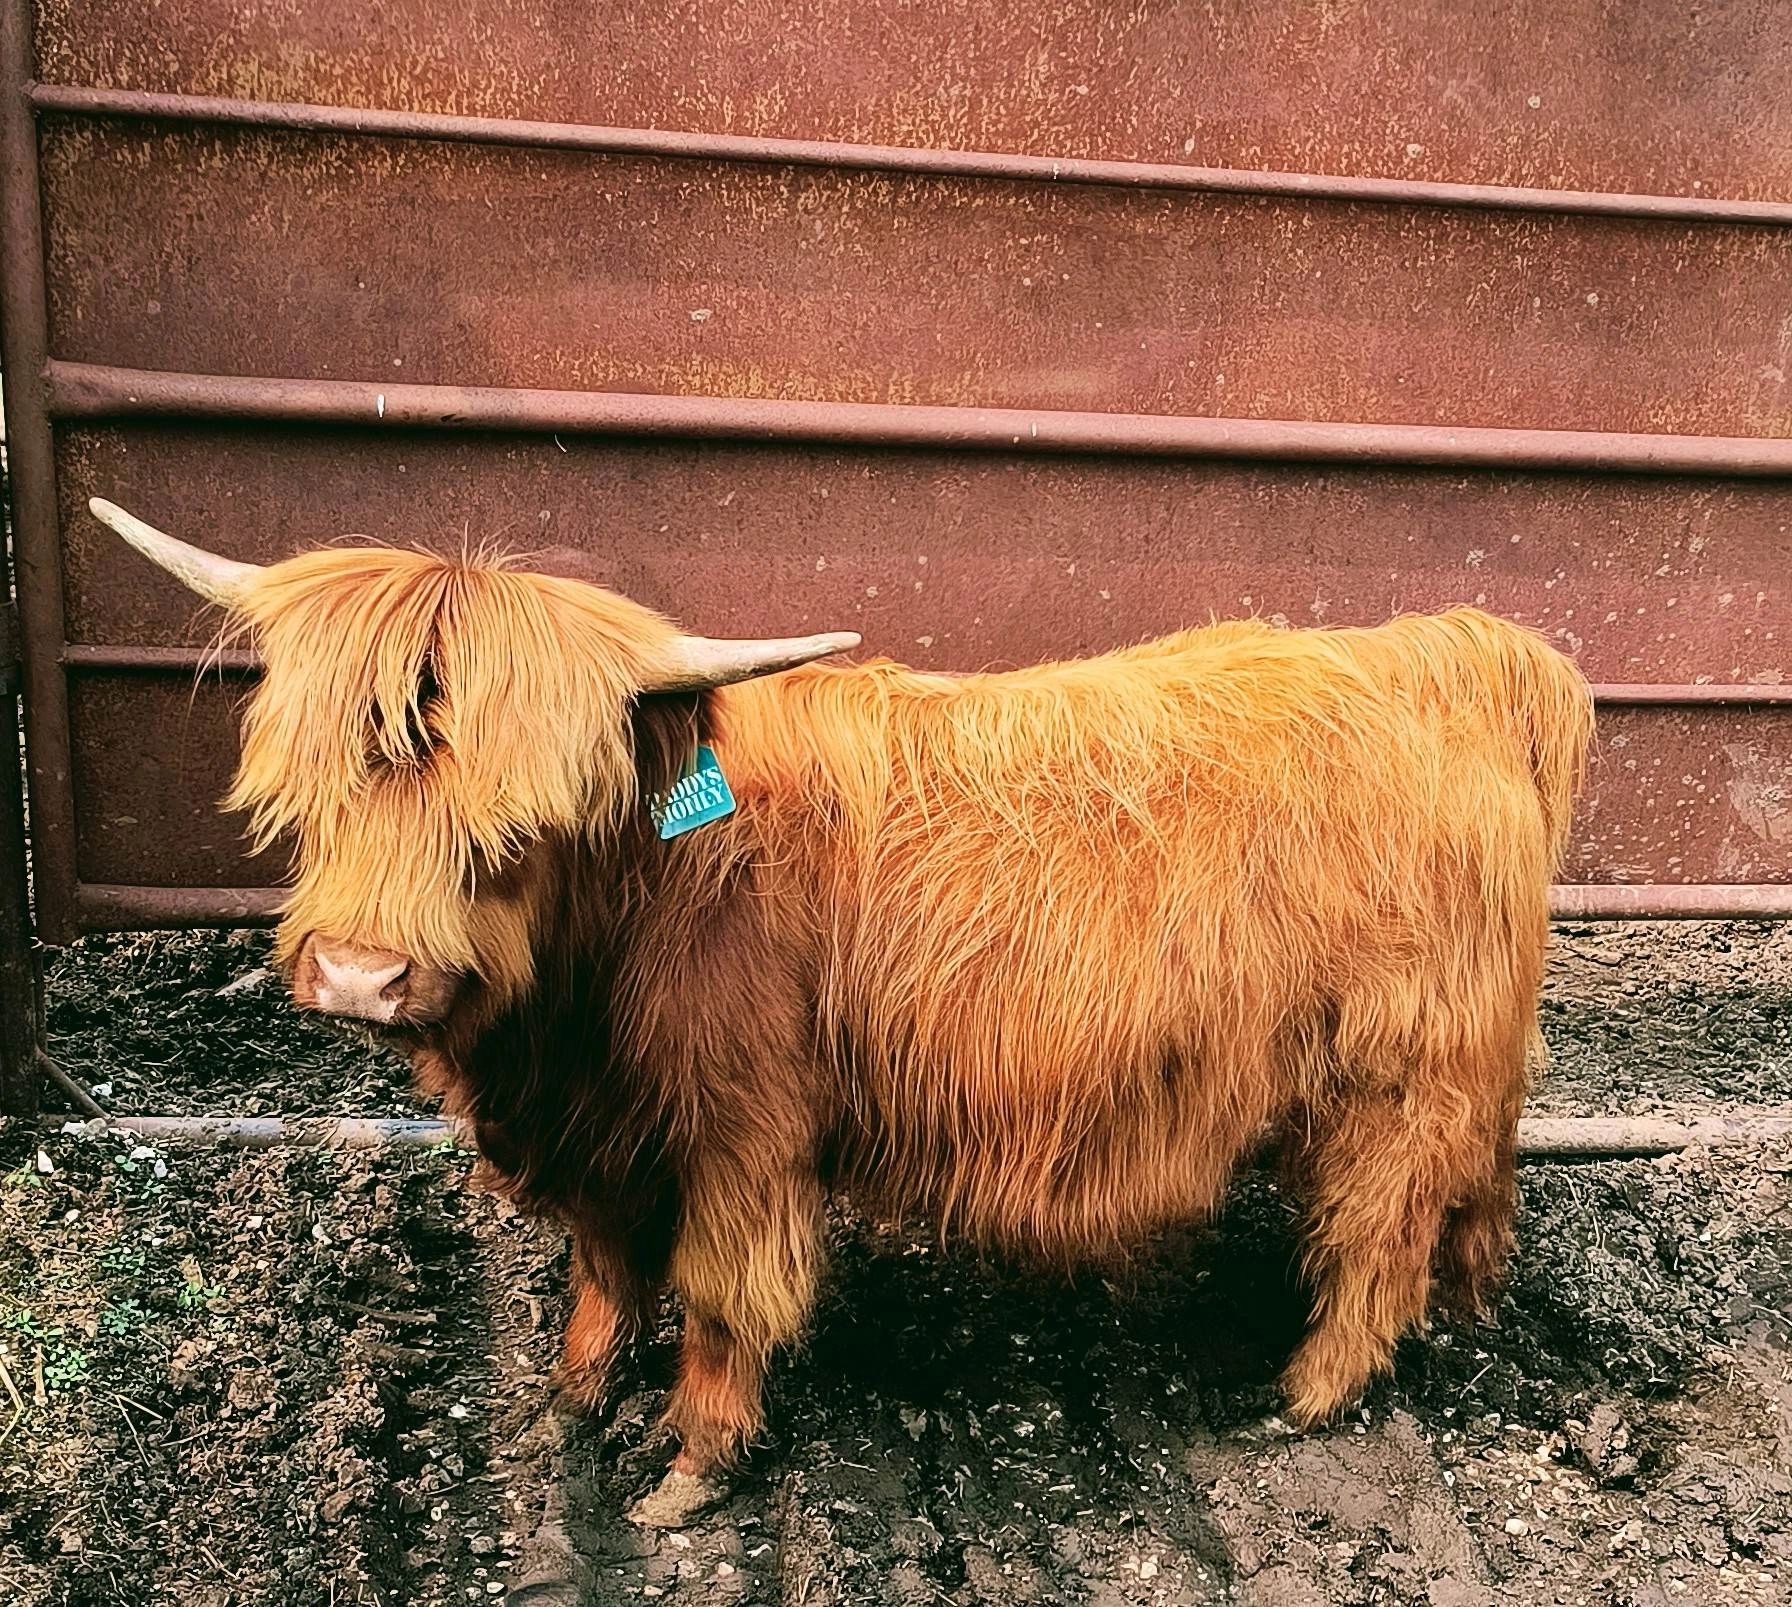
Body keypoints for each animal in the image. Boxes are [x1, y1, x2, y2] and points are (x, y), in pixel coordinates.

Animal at [91, 496, 1592, 1513]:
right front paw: (573, 1397)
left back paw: (1305, 1394)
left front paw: (688, 1469)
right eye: (316, 782)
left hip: (1395, 1077)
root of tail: (1453, 651)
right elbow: (603, 1265)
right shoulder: (603, 1133)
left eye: (517, 821)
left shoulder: (743, 1133)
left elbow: (718, 1296)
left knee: (1375, 1231)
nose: (360, 971)